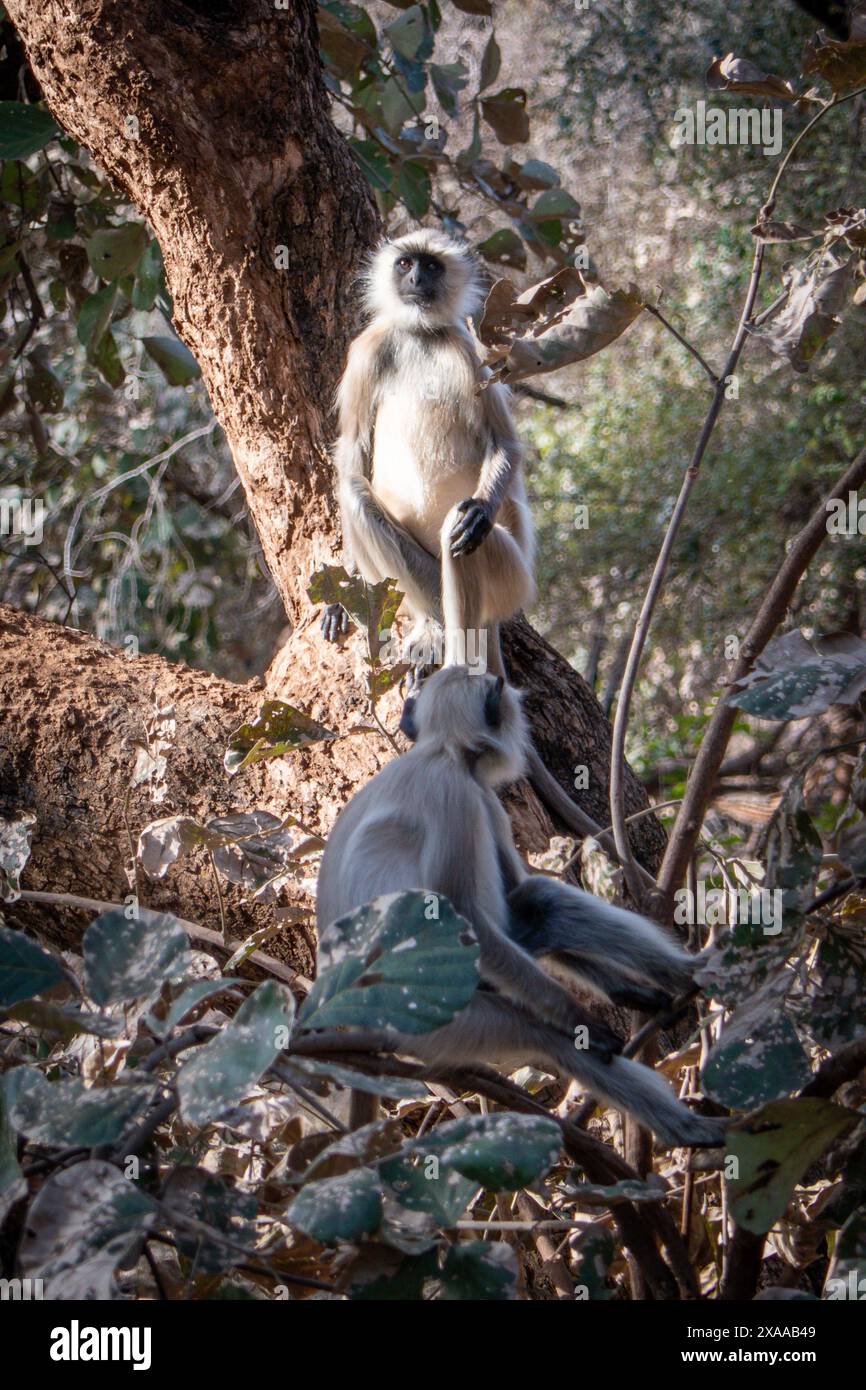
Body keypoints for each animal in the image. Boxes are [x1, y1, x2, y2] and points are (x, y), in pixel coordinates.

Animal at [315, 666, 725, 1148]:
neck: (443, 751)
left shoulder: (481, 794)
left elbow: (515, 904)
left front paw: (631, 992)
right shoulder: (456, 796)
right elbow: (466, 922)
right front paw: (578, 1018)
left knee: (542, 903)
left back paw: (689, 977)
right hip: (431, 1017)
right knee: (546, 1035)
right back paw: (684, 1124)